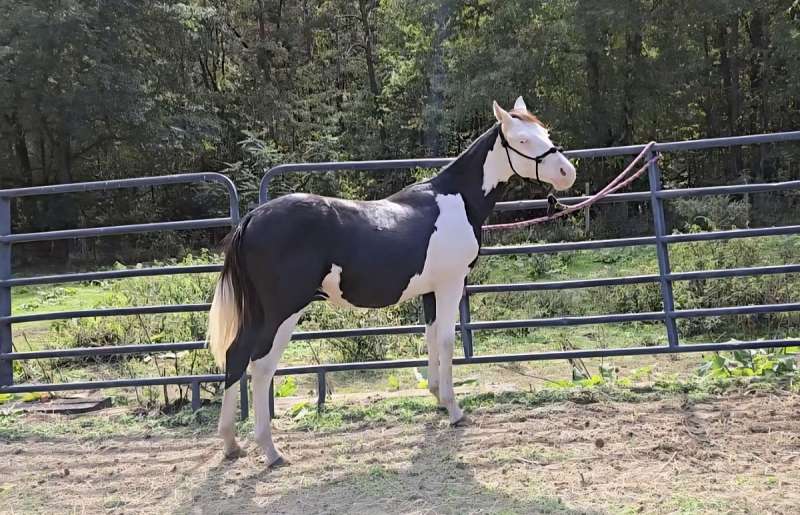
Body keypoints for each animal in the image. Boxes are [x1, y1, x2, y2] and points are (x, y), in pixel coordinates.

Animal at [207, 97, 577, 466]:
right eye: (522, 140)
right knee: (261, 366)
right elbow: (447, 340)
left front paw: (438, 398)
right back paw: (270, 451)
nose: (567, 173)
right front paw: (454, 410)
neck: (456, 200)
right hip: (283, 311)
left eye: (545, 133)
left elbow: (430, 337)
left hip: (259, 312)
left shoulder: (430, 291)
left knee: (236, 355)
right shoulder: (450, 284)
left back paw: (231, 443)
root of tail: (252, 218)